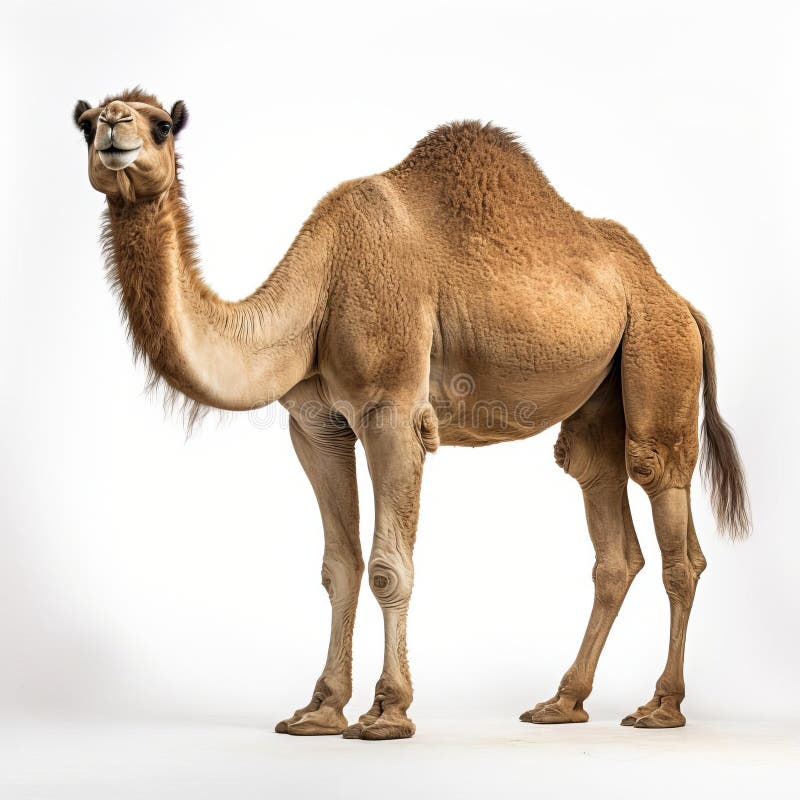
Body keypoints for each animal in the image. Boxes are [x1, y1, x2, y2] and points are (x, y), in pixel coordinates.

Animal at [74, 88, 750, 740]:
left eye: (162, 125)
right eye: (85, 124)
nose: (113, 124)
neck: (319, 289)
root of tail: (682, 301)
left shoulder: (393, 411)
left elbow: (386, 568)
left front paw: (386, 712)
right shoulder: (314, 427)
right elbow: (339, 566)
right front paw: (319, 710)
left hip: (659, 349)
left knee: (668, 508)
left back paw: (661, 707)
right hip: (600, 391)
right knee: (605, 515)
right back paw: (562, 702)